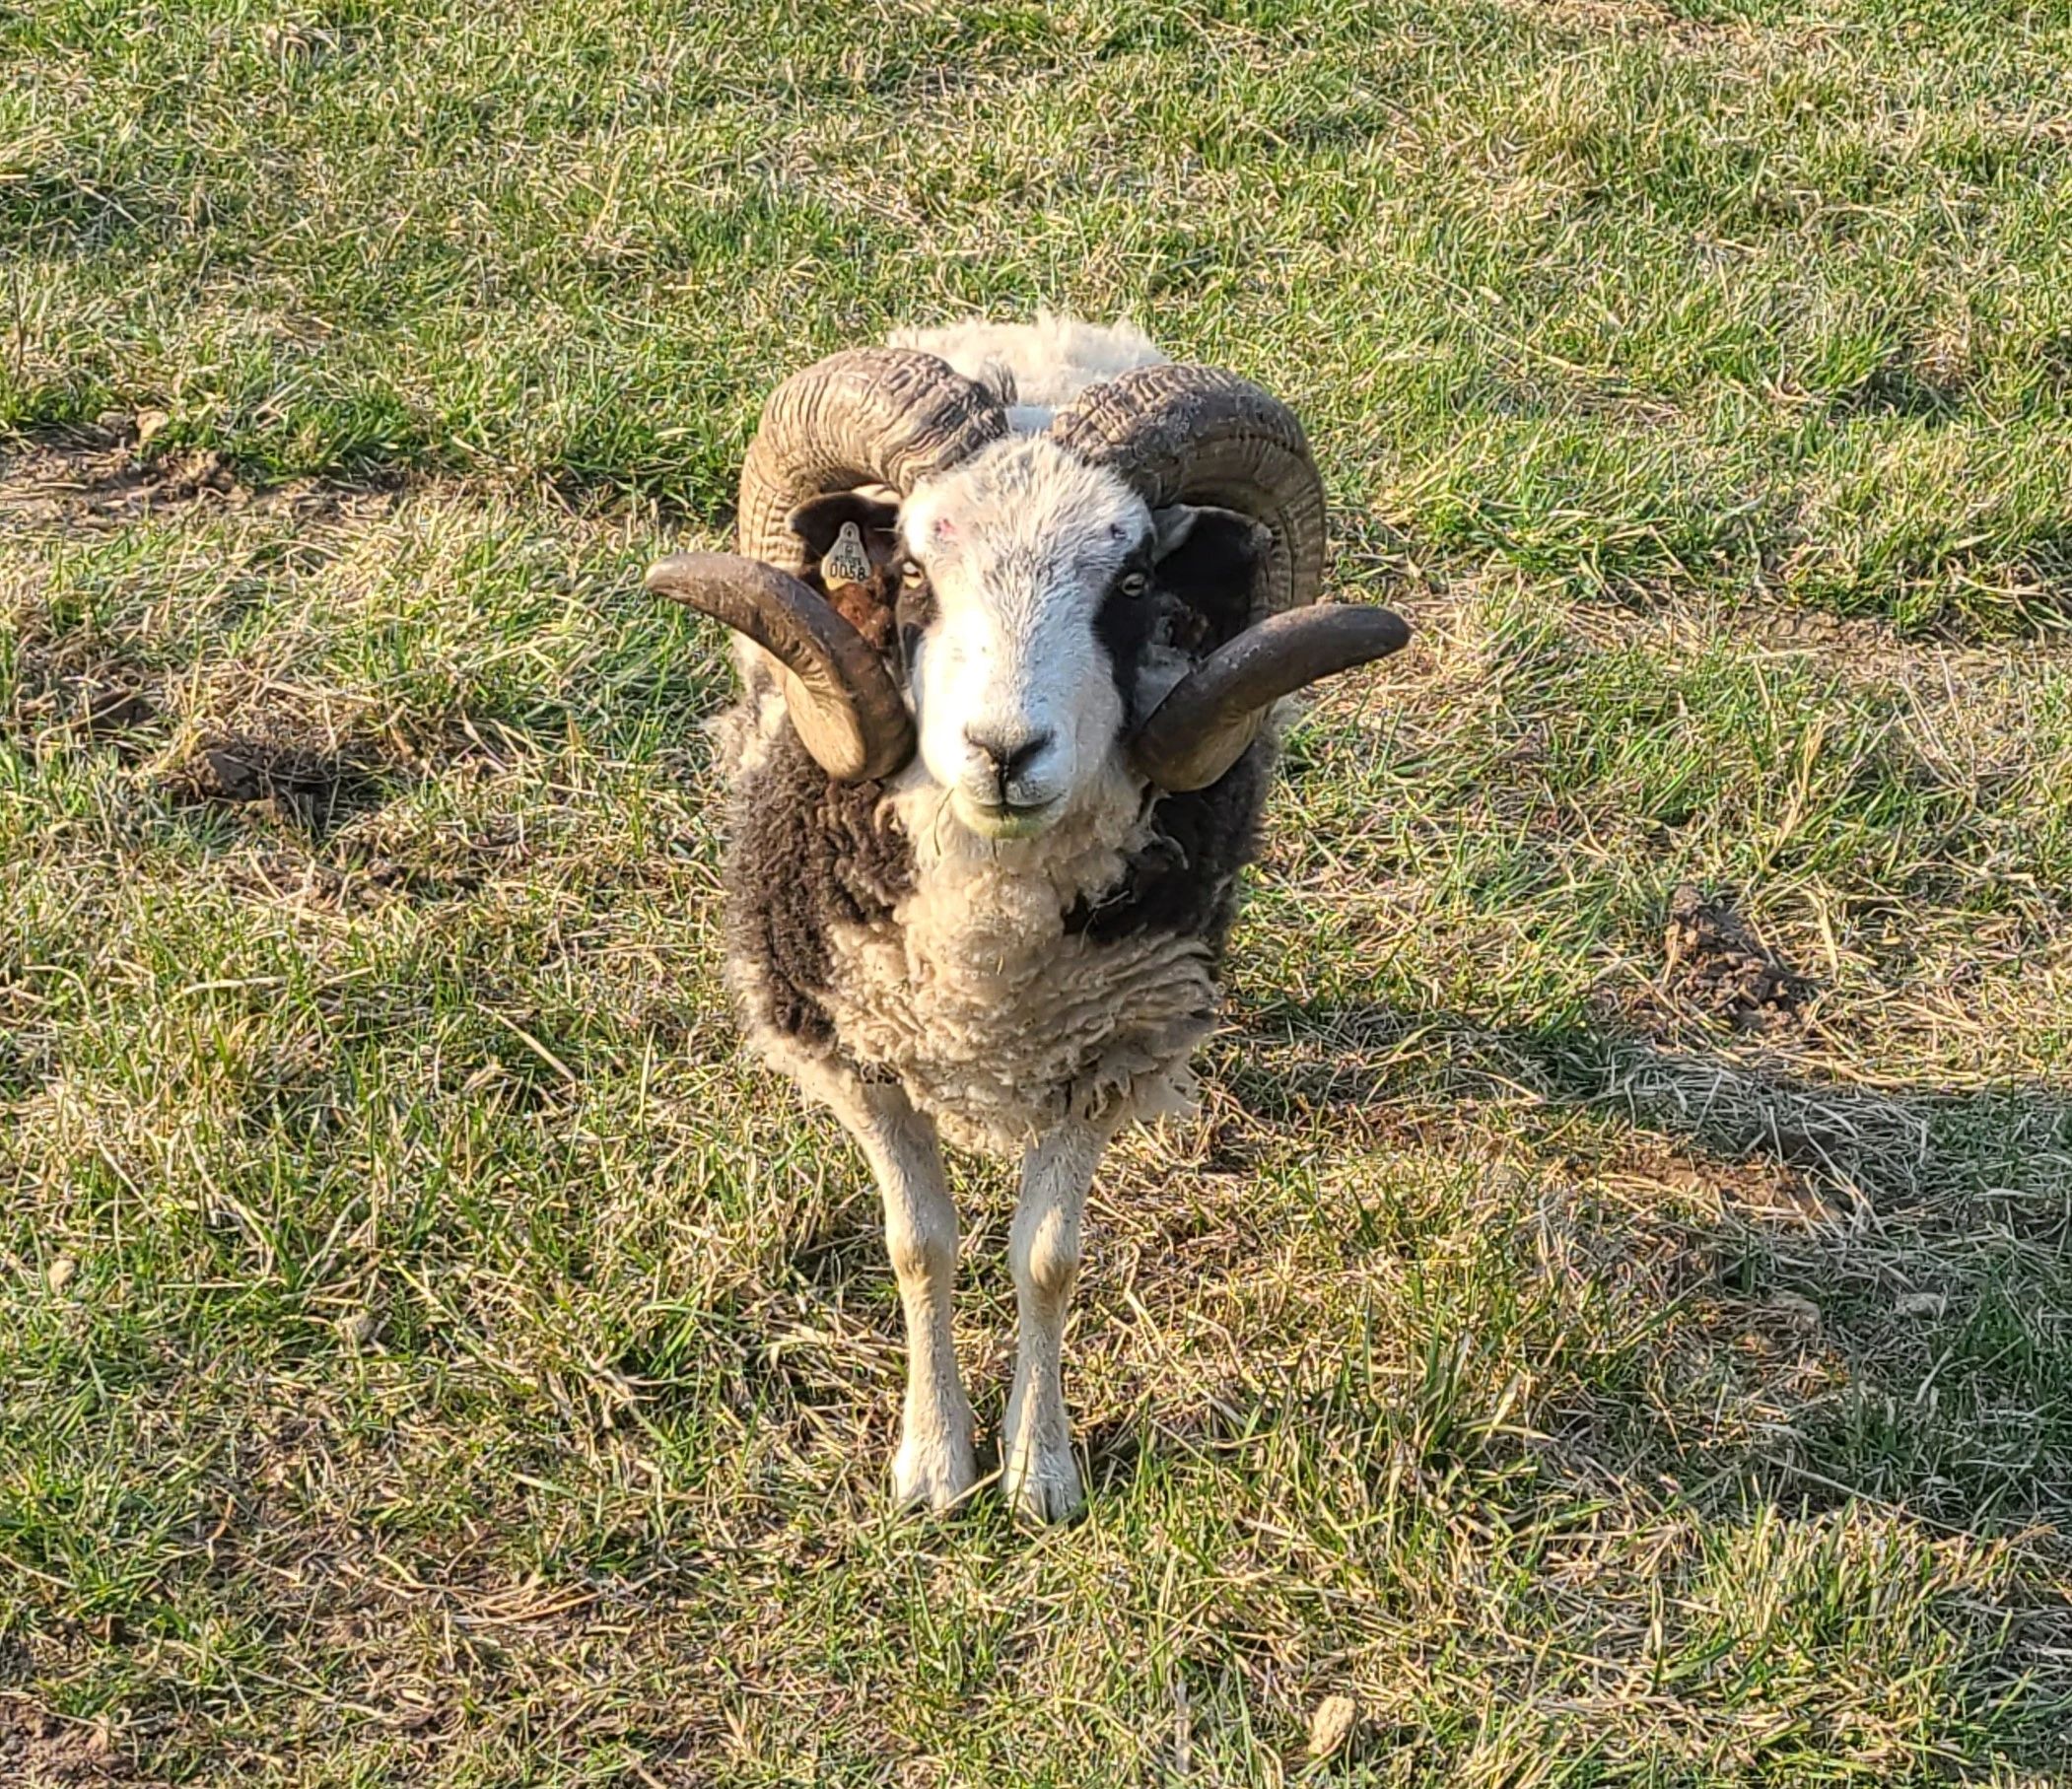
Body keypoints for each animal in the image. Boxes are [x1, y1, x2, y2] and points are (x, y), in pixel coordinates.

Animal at [646, 314, 1409, 1517]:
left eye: (1133, 580)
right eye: (913, 570)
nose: (1004, 752)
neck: (986, 954)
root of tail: (1035, 336)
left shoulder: (1105, 1054)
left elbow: (1045, 1259)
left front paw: (1038, 1468)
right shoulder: (856, 1049)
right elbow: (921, 1246)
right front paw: (931, 1464)